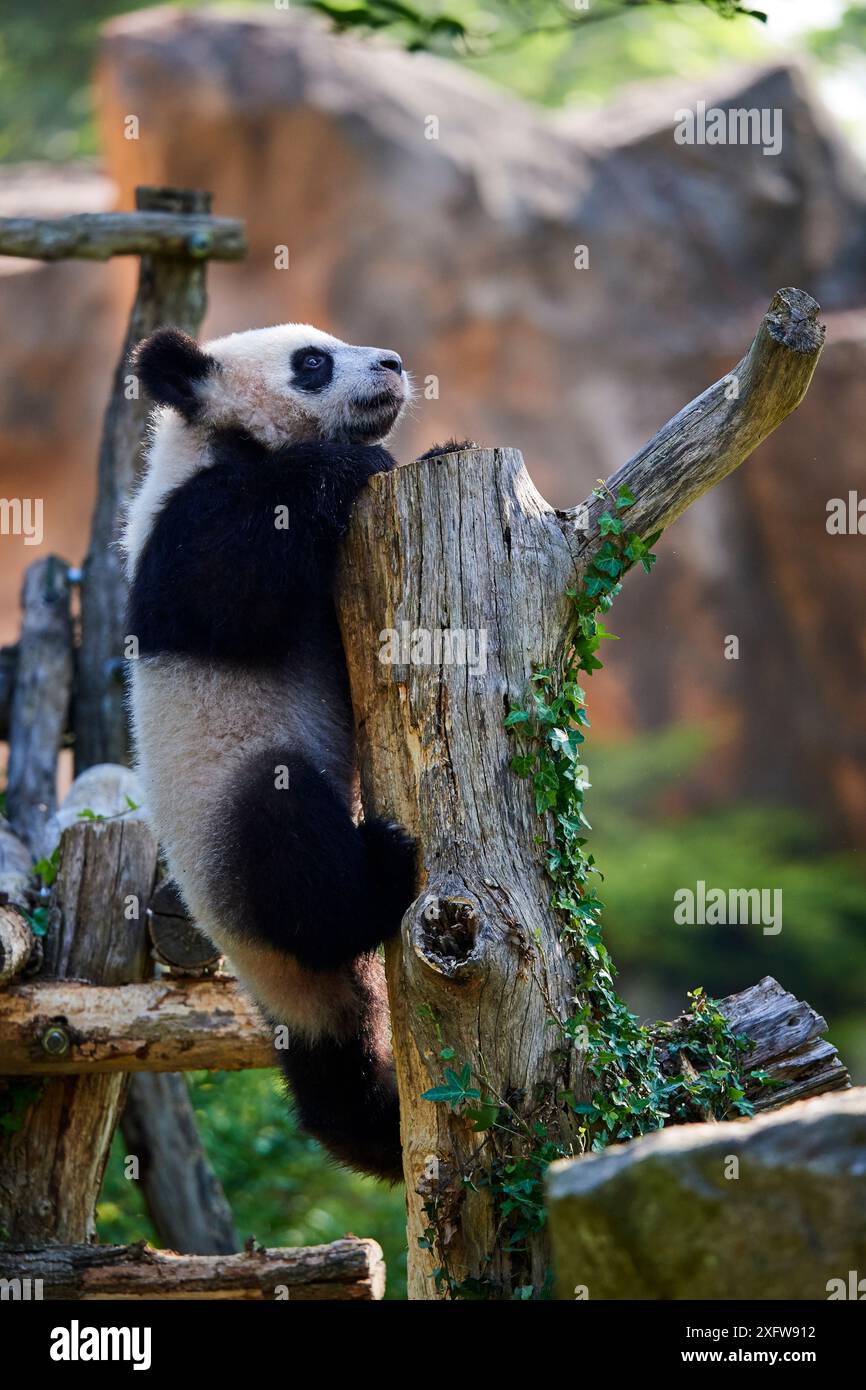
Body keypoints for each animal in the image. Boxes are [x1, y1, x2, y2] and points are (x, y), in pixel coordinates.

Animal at [122, 322, 468, 1183]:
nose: (393, 364)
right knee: (288, 848)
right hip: (228, 823)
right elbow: (226, 583)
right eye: (311, 362)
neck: (216, 441)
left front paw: (444, 447)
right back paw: (379, 868)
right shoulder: (175, 527)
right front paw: (368, 465)